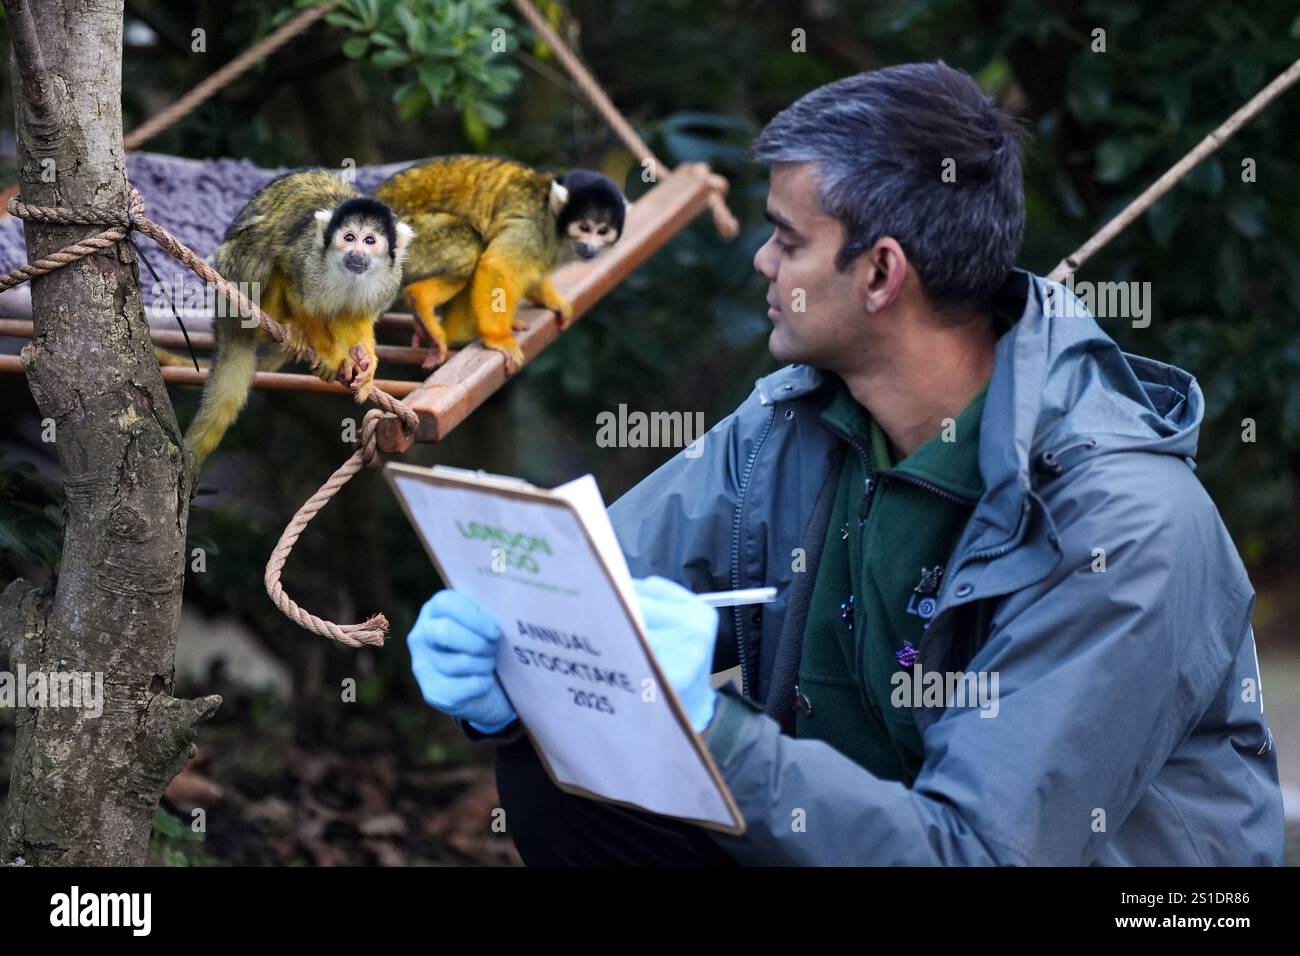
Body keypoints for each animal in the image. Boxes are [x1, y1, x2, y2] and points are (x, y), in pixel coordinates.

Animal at [182, 169, 414, 467]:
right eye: (350, 238)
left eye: (370, 241)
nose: (356, 254)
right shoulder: (308, 258)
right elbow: (302, 296)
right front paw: (331, 357)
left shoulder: (390, 277)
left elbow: (354, 316)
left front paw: (365, 361)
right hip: (233, 268)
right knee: (265, 246)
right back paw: (277, 327)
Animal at [373, 156, 627, 372]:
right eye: (584, 228)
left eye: (602, 231)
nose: (591, 248)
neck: (555, 223)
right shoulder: (532, 227)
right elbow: (498, 265)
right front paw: (498, 339)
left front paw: (551, 300)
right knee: (470, 243)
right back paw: (422, 299)